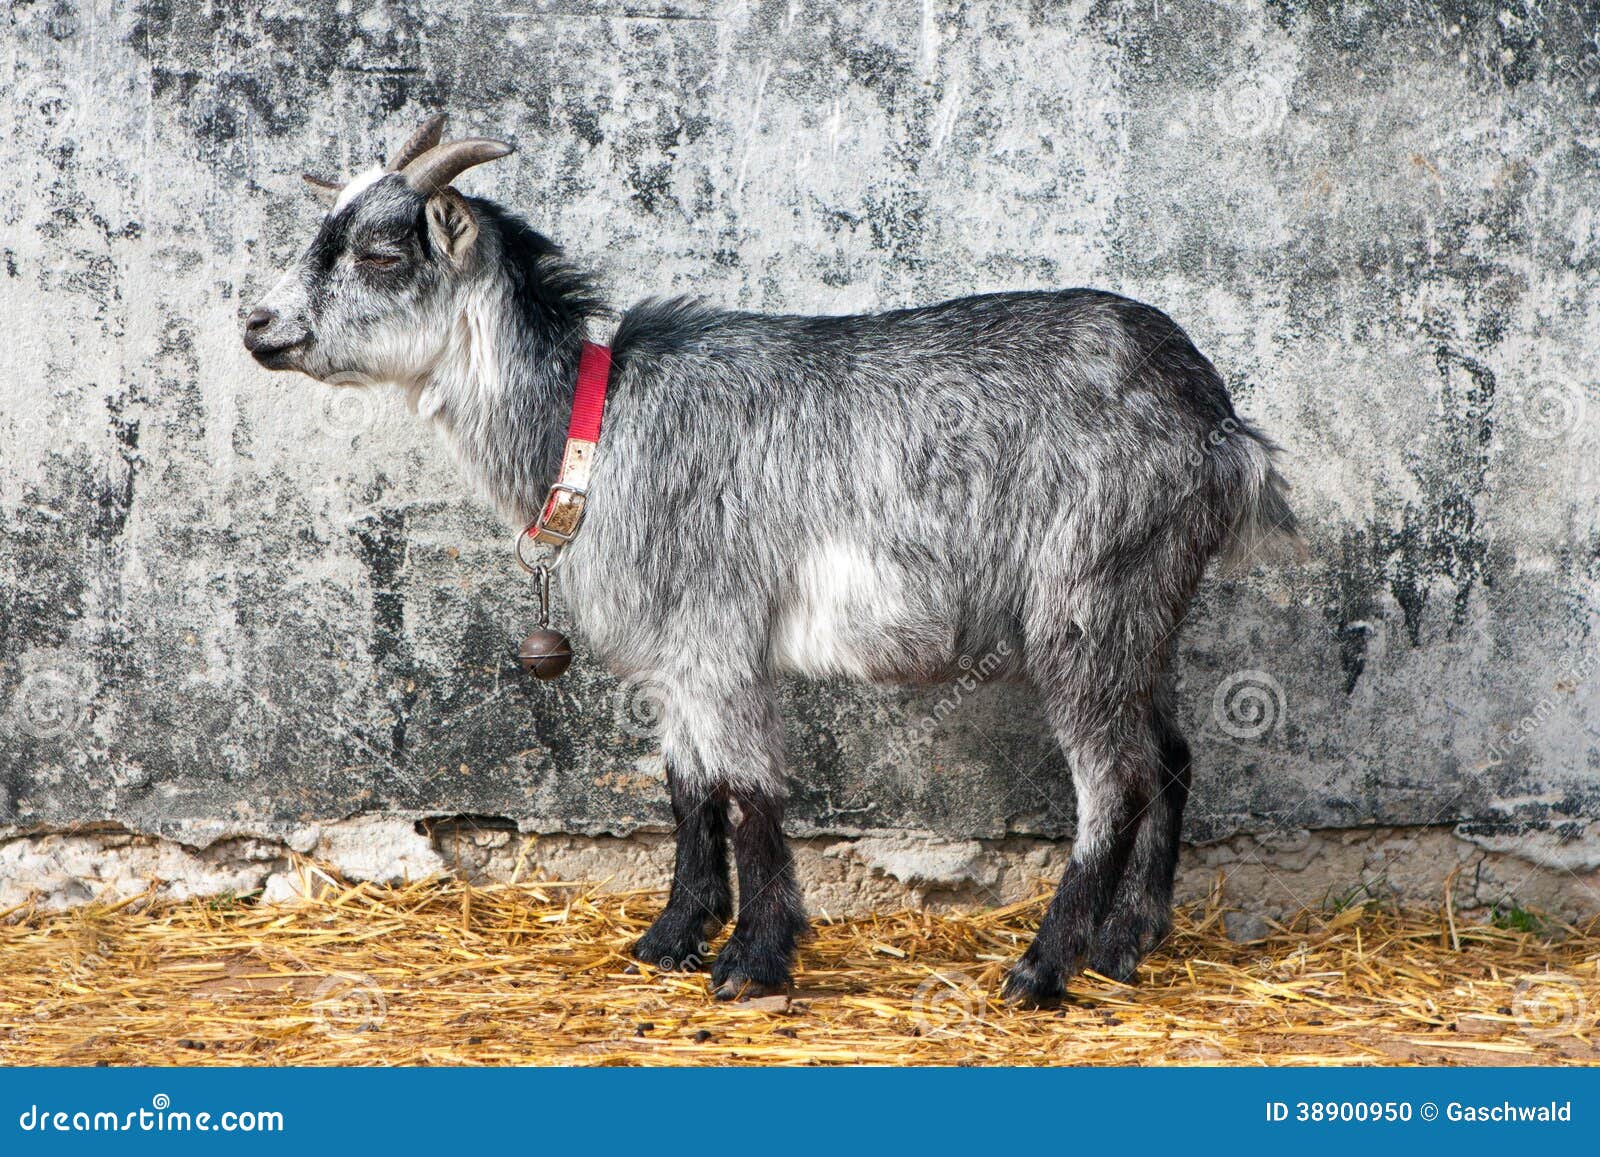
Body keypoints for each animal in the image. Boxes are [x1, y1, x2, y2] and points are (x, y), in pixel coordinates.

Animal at [243, 116, 1301, 1004]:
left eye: (382, 251)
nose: (258, 326)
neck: (595, 425)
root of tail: (1219, 424)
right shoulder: (675, 652)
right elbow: (689, 787)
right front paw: (670, 937)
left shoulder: (721, 629)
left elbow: (749, 791)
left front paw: (753, 961)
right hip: (1144, 609)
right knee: (1169, 755)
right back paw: (1126, 944)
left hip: (1086, 597)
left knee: (1115, 780)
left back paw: (1043, 969)